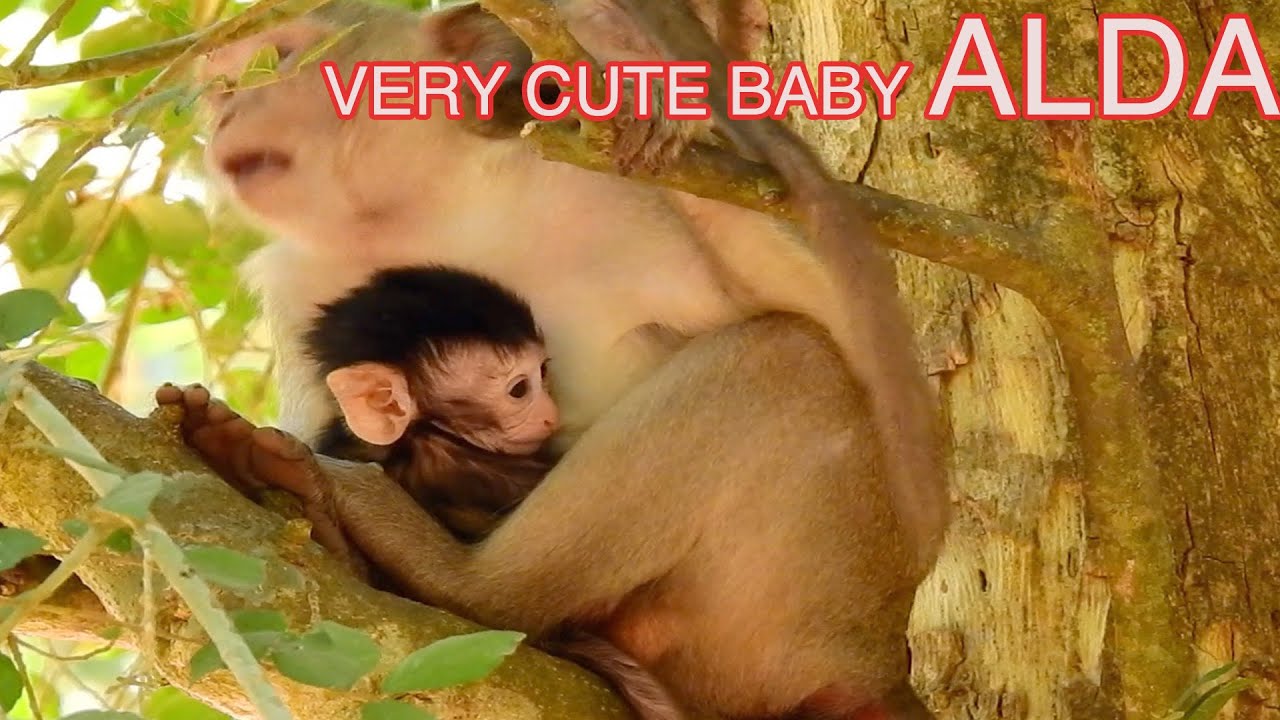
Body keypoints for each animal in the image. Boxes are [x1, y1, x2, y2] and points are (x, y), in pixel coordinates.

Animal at [164, 1, 948, 718]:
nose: (227, 111)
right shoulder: (301, 289)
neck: (424, 212)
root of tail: (875, 665)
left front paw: (647, 77)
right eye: (224, 88)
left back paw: (458, 577)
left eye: (281, 55)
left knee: (789, 357)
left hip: (796, 599)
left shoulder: (600, 193)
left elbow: (860, 343)